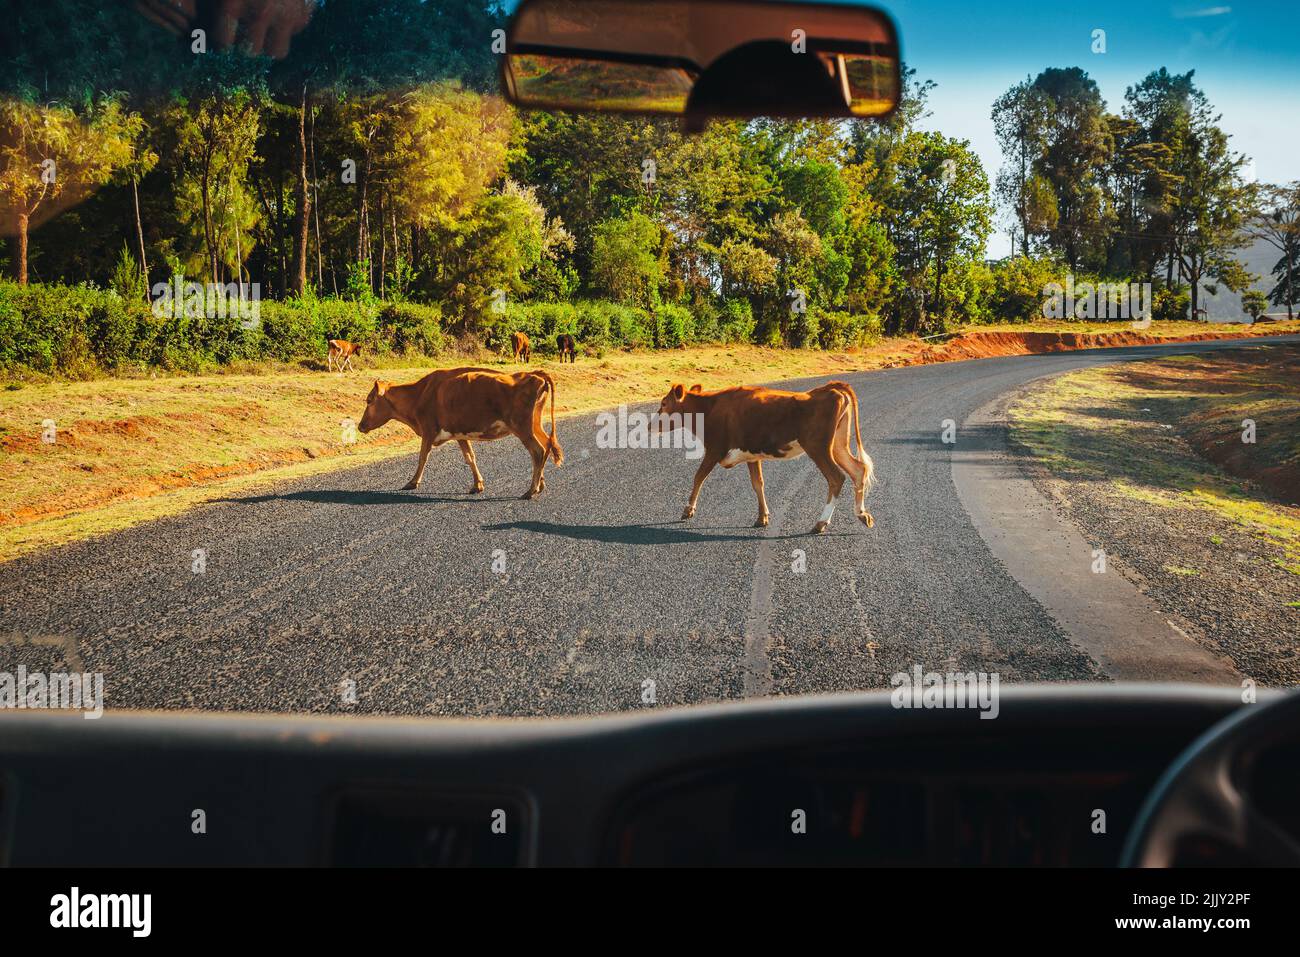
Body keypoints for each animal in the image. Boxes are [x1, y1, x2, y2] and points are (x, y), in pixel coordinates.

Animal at [357, 368, 563, 498]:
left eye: (369, 400)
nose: (360, 426)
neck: (419, 394)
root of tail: (533, 374)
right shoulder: (460, 434)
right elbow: (470, 457)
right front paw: (477, 485)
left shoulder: (428, 430)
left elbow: (422, 457)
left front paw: (413, 482)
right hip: (535, 425)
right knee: (546, 445)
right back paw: (540, 484)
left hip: (523, 427)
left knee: (538, 451)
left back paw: (531, 490)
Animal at [655, 381, 874, 533]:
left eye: (664, 403)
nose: (650, 425)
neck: (709, 408)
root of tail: (829, 388)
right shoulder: (751, 455)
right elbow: (758, 484)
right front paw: (762, 517)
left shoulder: (714, 449)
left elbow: (699, 477)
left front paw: (688, 510)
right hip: (838, 445)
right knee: (858, 469)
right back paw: (862, 514)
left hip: (818, 447)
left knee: (836, 478)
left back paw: (821, 523)